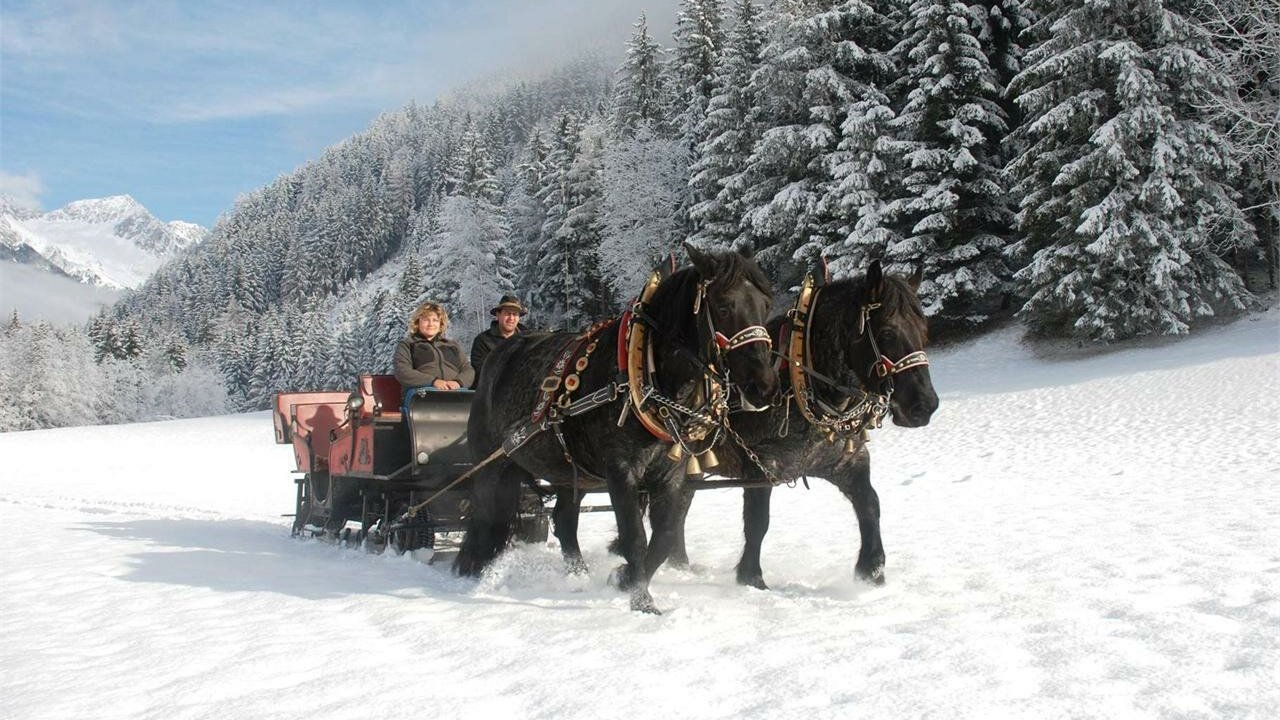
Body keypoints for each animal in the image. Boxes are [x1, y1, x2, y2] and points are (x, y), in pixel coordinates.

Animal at [454, 244, 778, 613]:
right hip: (492, 464)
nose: (764, 386)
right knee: (486, 516)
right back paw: (472, 569)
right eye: (723, 306)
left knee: (564, 520)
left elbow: (664, 537)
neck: (648, 376)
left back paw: (577, 576)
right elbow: (635, 536)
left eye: (766, 305)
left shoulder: (671, 472)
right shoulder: (621, 470)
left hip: (569, 470)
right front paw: (642, 602)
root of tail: (498, 357)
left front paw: (623, 579)